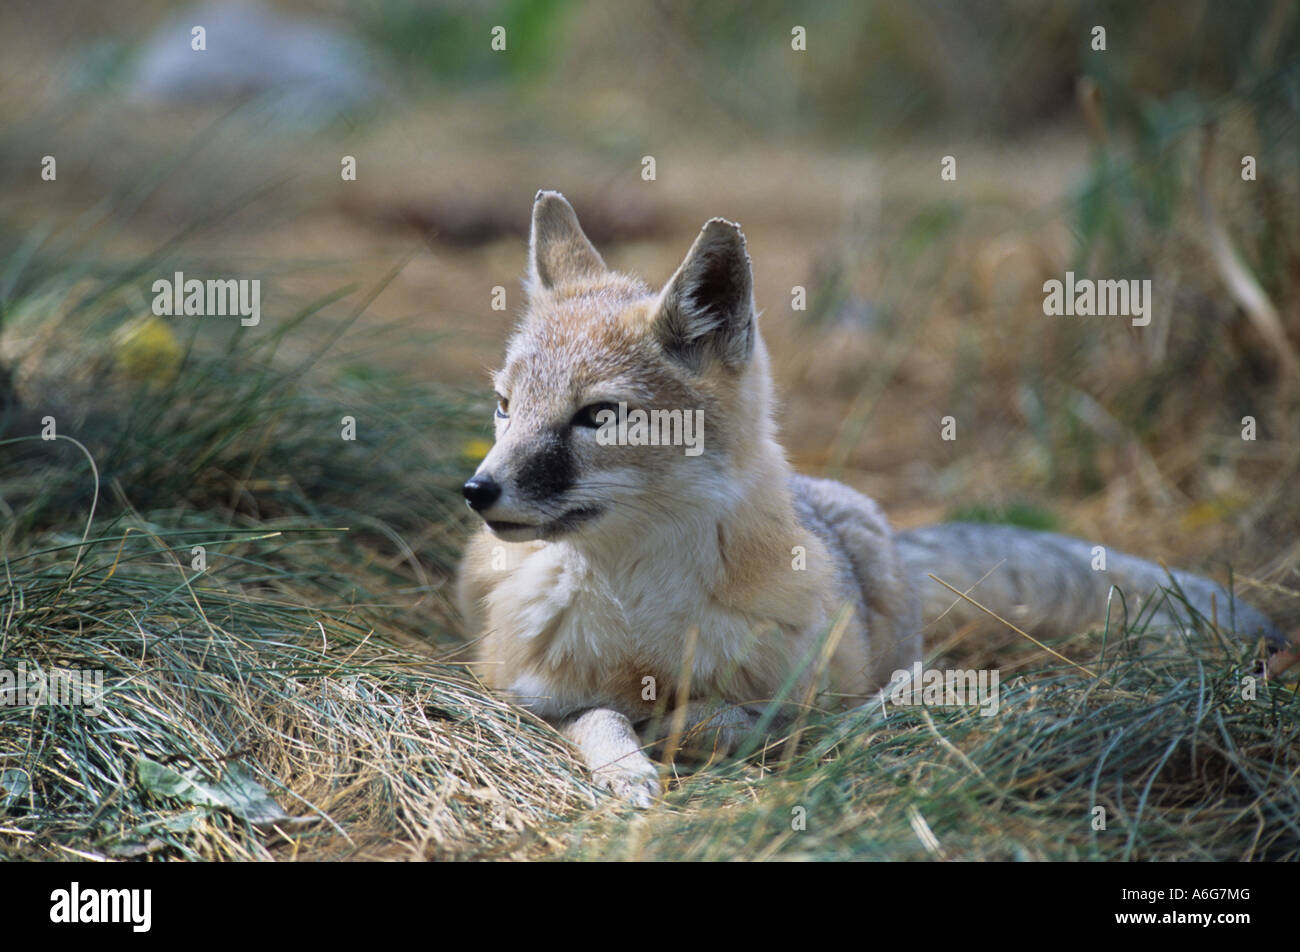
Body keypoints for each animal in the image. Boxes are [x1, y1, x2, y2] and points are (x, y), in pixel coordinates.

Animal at [457, 189, 1293, 806]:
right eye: (505, 406)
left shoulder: (795, 700)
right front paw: (626, 766)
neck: (640, 618)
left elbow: (718, 719)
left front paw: (671, 729)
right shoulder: (516, 693)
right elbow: (597, 716)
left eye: (597, 417)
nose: (477, 489)